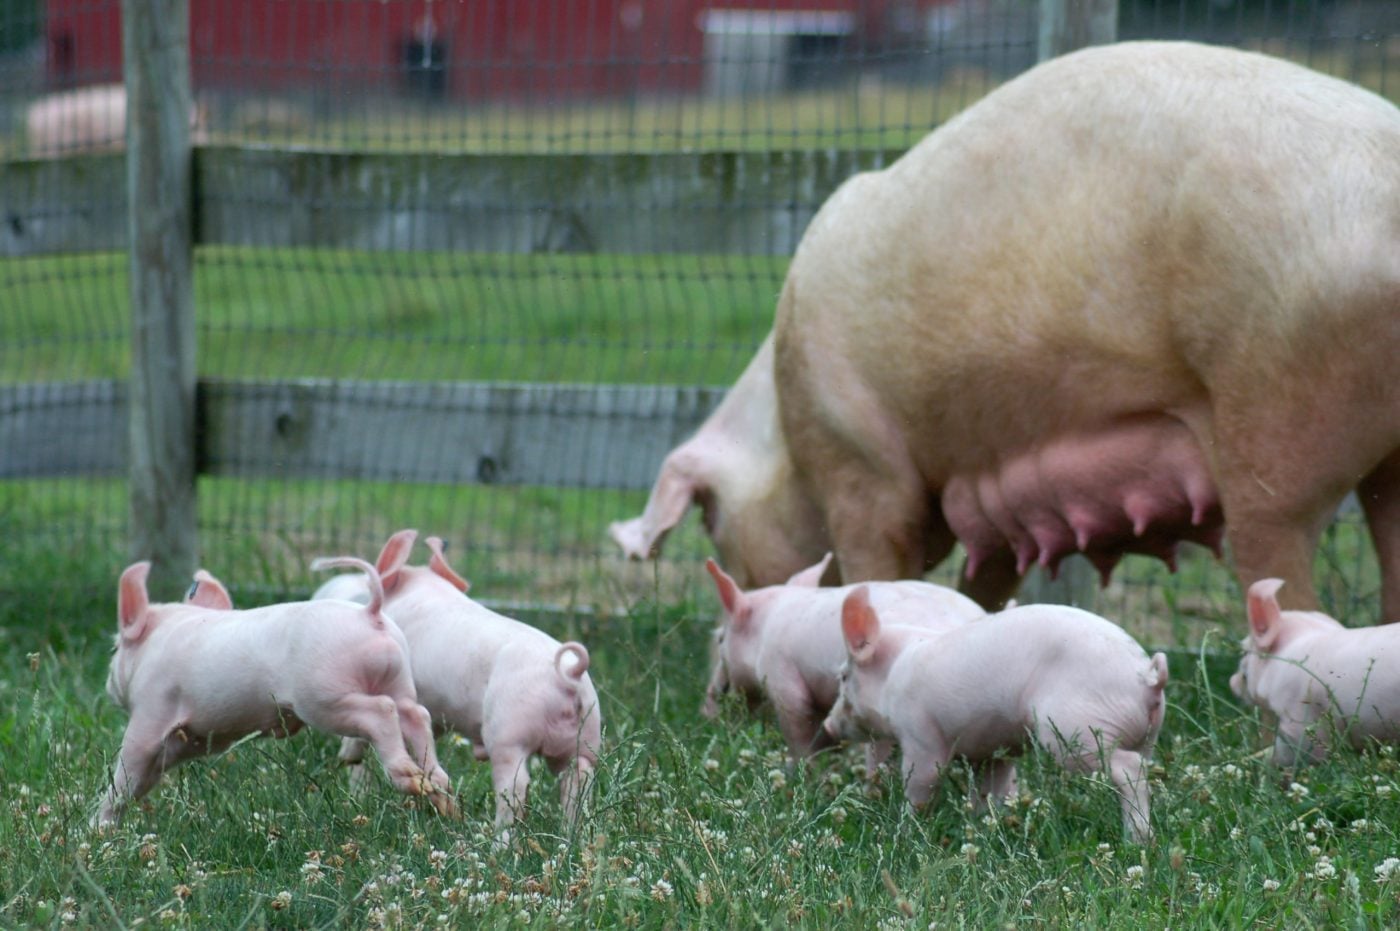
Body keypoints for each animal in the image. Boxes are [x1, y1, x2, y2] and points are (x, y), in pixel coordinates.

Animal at [96, 560, 456, 828]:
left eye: (114, 648)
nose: (108, 685)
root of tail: (370, 612)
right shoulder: (189, 739)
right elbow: (146, 775)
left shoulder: (153, 706)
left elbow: (130, 761)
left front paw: (99, 830)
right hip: (398, 677)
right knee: (416, 714)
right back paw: (442, 795)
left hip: (323, 696)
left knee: (382, 711)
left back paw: (410, 780)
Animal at [312, 530, 602, 843]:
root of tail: (570, 674)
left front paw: (347, 758)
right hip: (585, 740)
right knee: (577, 782)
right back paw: (572, 837)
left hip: (509, 732)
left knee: (516, 785)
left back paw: (498, 843)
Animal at [613, 41, 1400, 620]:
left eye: (713, 523)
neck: (785, 425)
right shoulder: (994, 501)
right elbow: (983, 584)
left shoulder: (862, 467)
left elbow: (878, 564)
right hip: (1384, 462)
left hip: (1273, 424)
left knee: (1289, 582)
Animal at [823, 587, 1169, 842]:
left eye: (843, 677)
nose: (828, 726)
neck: (895, 673)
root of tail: (1146, 676)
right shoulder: (991, 749)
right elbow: (989, 789)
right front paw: (984, 826)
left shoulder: (920, 733)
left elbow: (923, 782)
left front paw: (907, 830)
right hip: (1145, 736)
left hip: (1076, 730)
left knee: (1128, 767)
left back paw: (1138, 840)